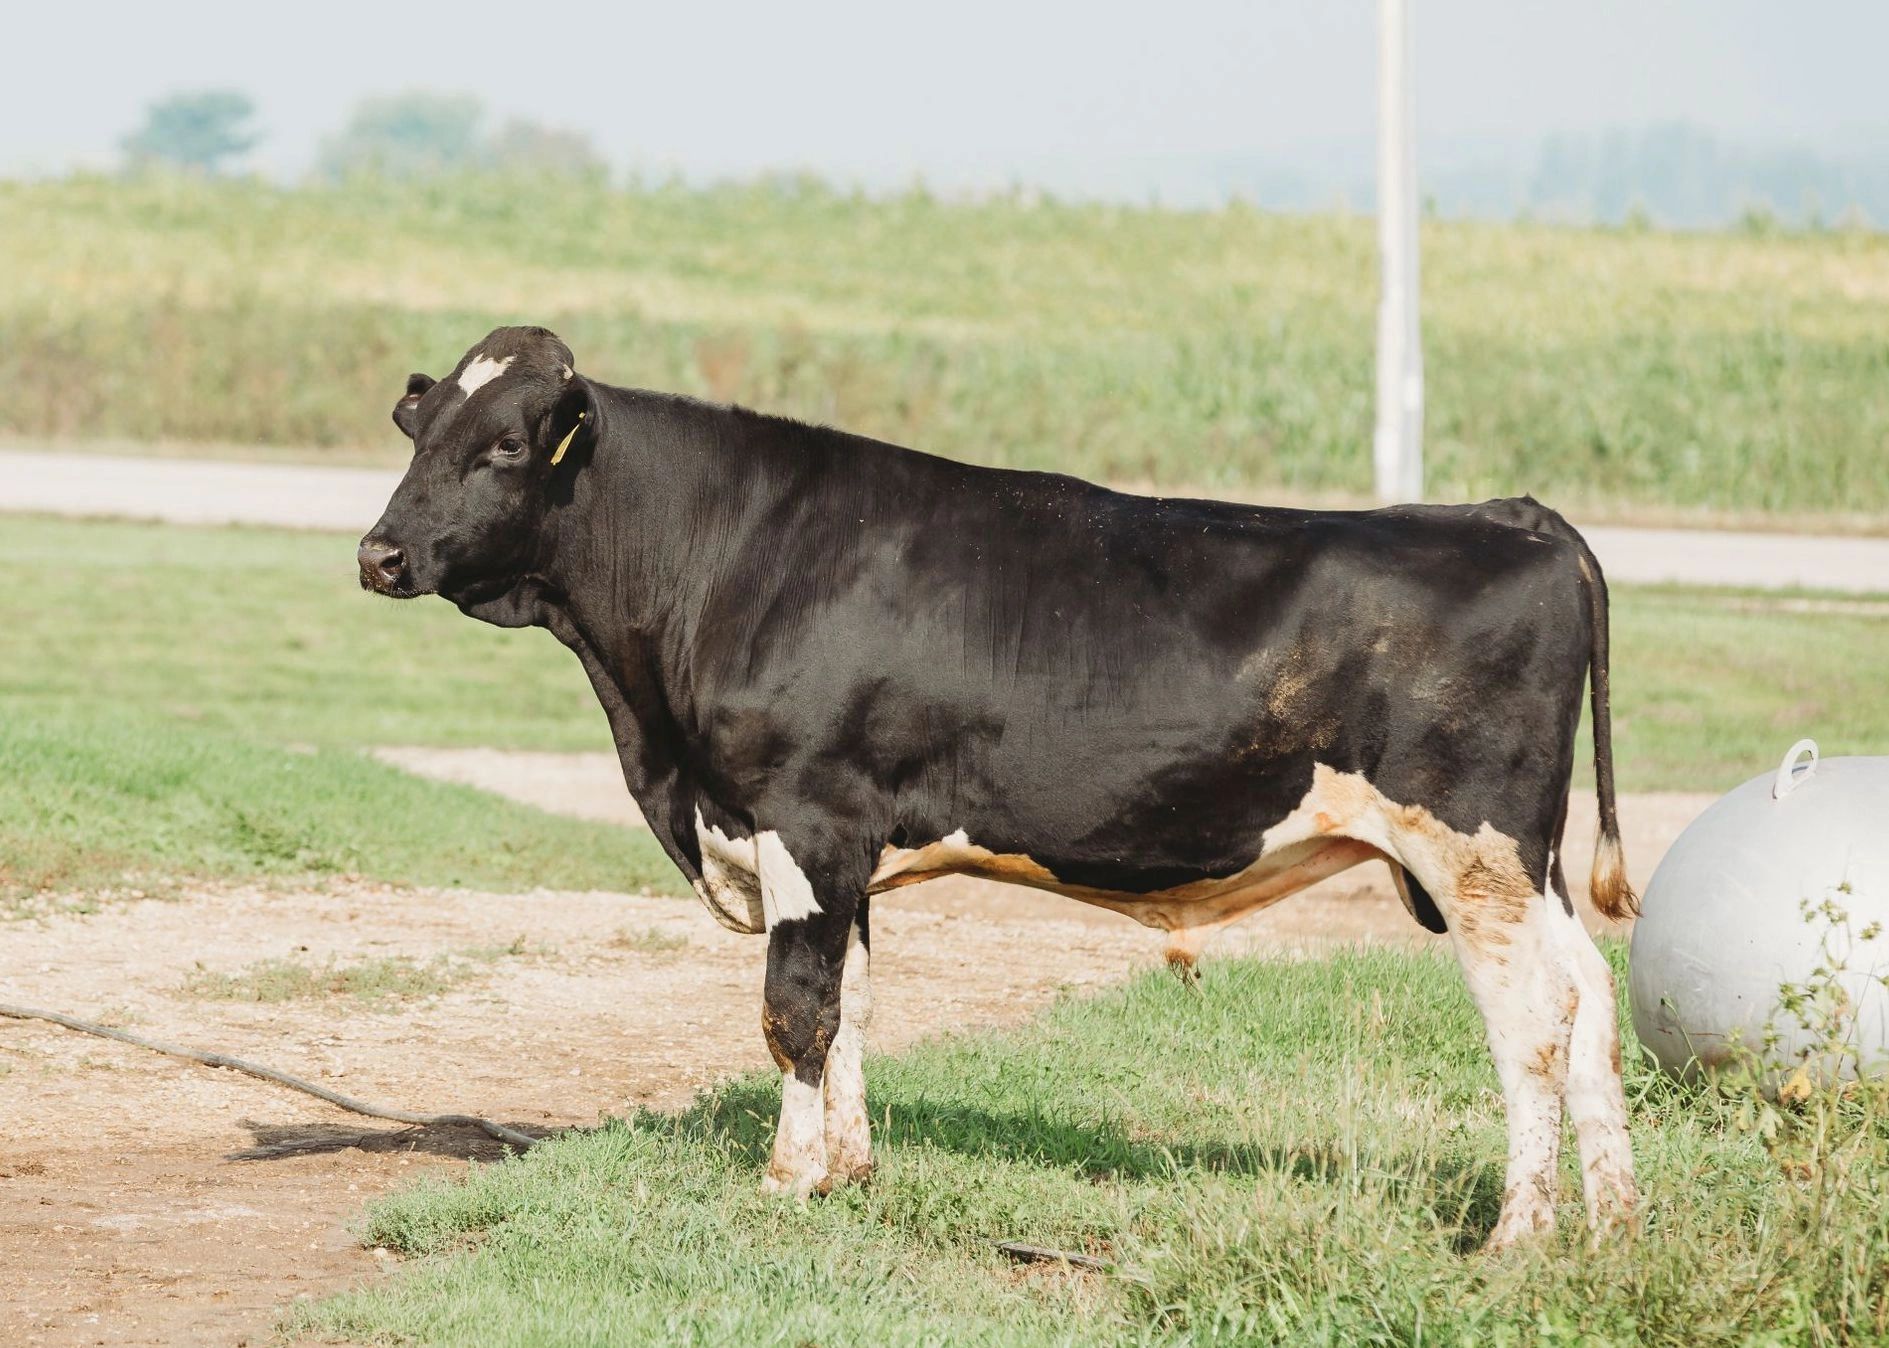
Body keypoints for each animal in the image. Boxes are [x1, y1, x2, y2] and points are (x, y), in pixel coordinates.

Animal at [359, 325, 1638, 1247]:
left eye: (505, 446)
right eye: (418, 431)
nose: (377, 553)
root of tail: (1509, 515)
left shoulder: (801, 814)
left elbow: (793, 1010)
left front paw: (785, 1179)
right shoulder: (845, 839)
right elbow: (853, 1004)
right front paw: (851, 1172)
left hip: (1469, 850)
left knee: (1532, 1018)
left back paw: (1518, 1238)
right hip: (1526, 865)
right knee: (1591, 1002)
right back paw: (1613, 1225)